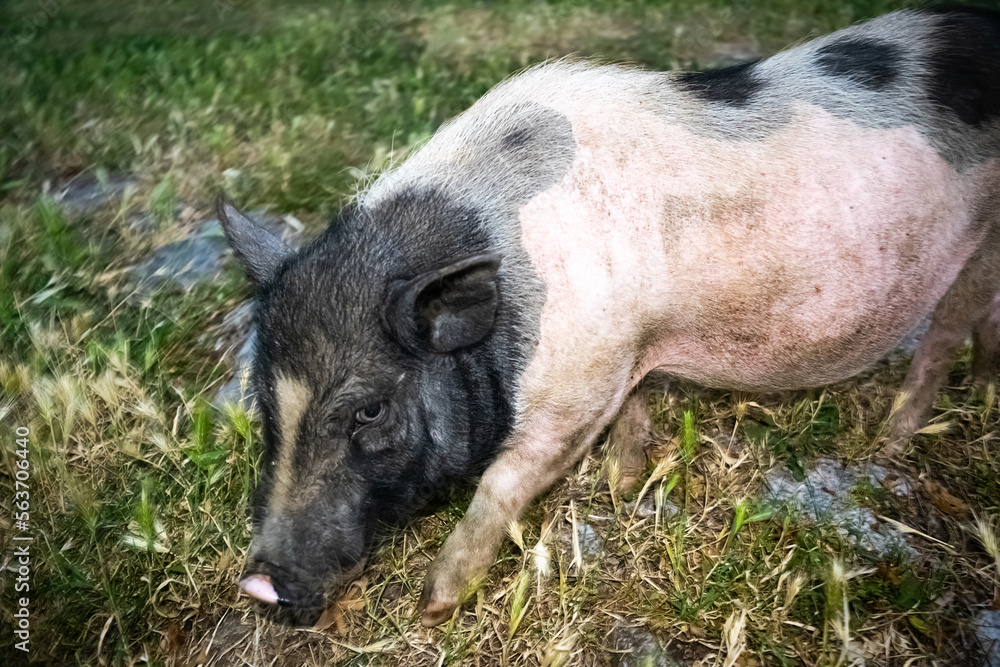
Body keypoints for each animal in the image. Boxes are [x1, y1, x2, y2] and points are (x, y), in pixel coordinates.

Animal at [223, 6, 1000, 627]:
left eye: (371, 410)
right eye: (264, 399)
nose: (258, 582)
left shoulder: (578, 383)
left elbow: (500, 486)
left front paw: (433, 606)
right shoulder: (627, 351)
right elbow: (636, 409)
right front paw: (624, 488)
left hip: (979, 245)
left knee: (942, 340)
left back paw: (889, 447)